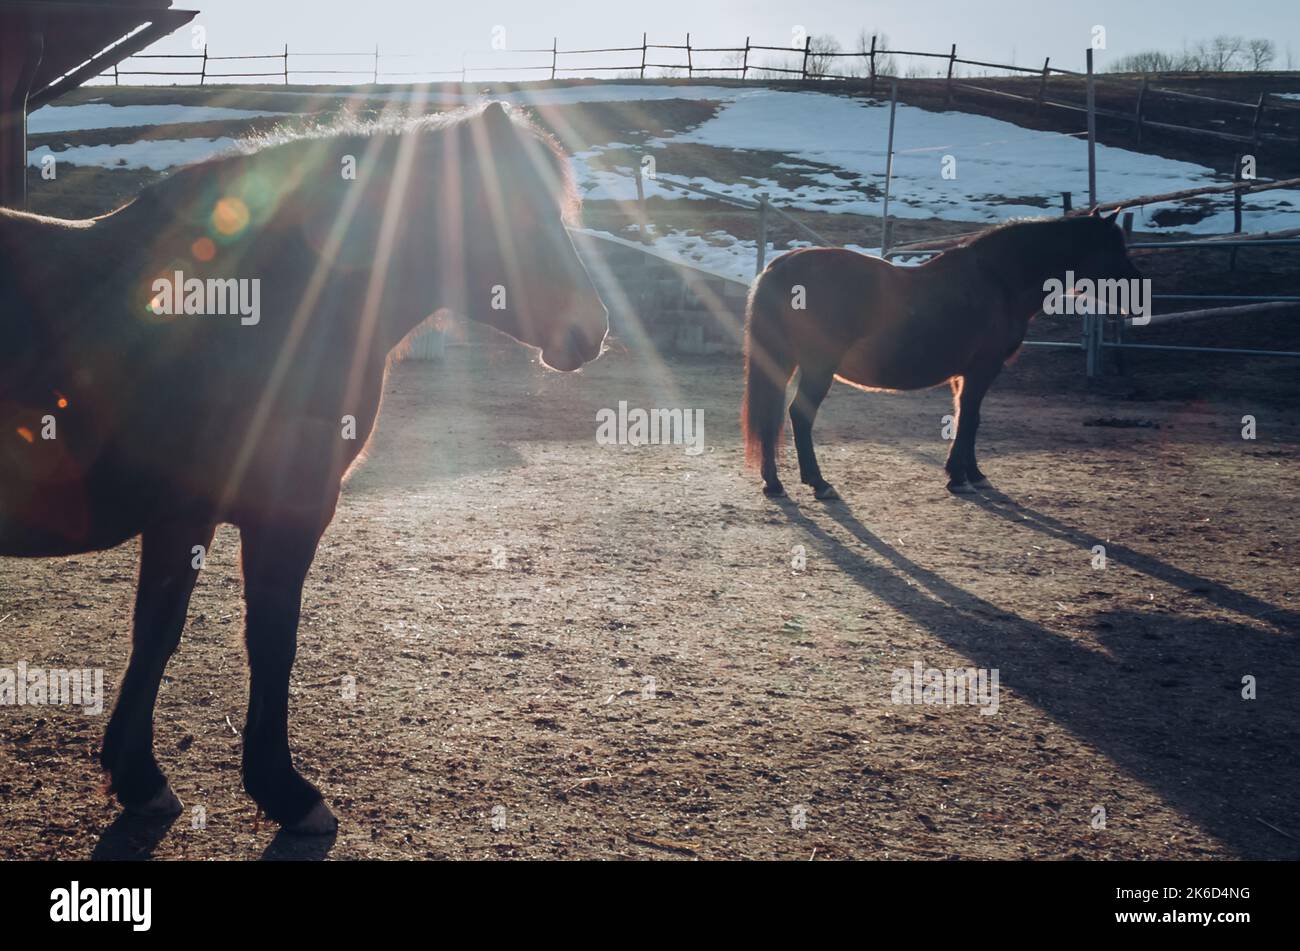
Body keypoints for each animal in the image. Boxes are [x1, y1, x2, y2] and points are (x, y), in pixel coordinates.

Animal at [0, 101, 608, 835]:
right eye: (516, 208)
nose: (592, 328)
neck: (258, 305)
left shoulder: (198, 517)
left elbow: (171, 633)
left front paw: (144, 774)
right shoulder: (261, 513)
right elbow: (253, 638)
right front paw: (278, 789)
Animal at [741, 209, 1142, 499]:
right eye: (1114, 250)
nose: (1138, 297)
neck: (1000, 280)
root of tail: (781, 266)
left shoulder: (964, 374)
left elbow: (966, 417)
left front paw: (969, 473)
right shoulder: (983, 368)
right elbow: (971, 419)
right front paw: (962, 478)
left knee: (773, 414)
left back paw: (773, 483)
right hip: (817, 367)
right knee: (798, 414)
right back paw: (818, 482)